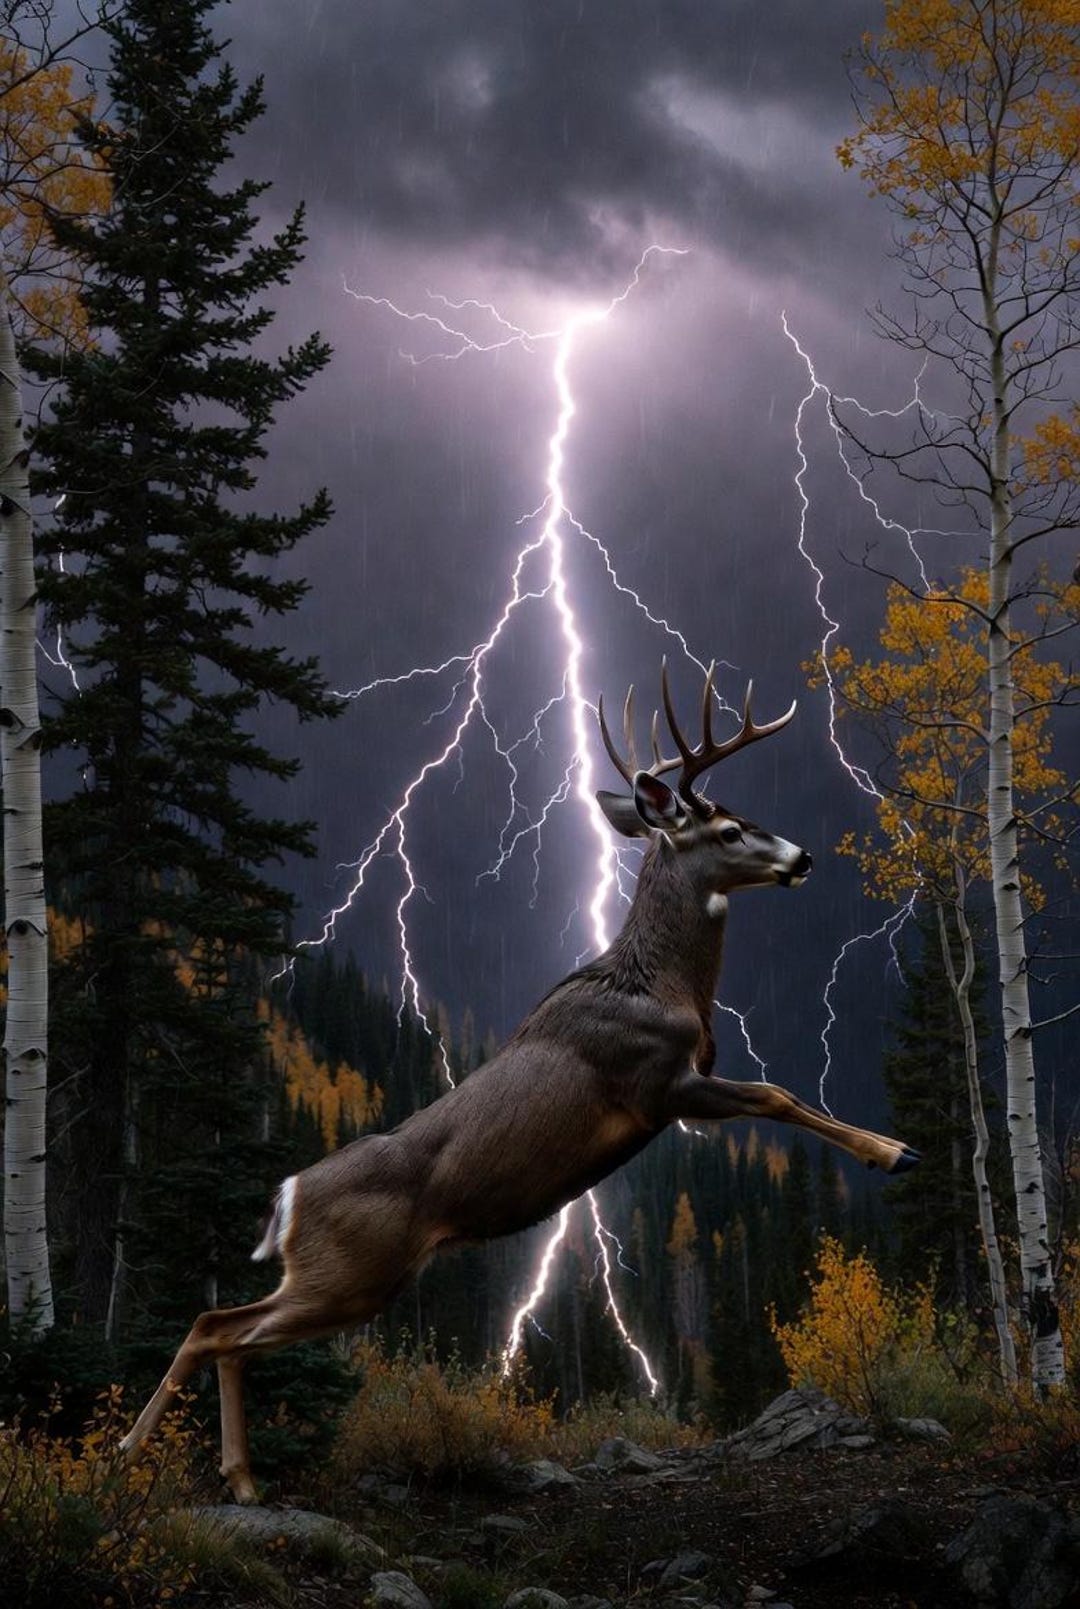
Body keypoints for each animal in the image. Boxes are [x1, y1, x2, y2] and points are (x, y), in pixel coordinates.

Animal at [120, 662, 919, 1503]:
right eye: (729, 828)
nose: (802, 856)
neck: (662, 986)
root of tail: (287, 1197)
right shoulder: (658, 1084)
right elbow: (778, 1094)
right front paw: (894, 1151)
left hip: (342, 1281)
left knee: (224, 1332)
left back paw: (234, 1476)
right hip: (348, 1275)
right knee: (218, 1329)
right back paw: (131, 1453)